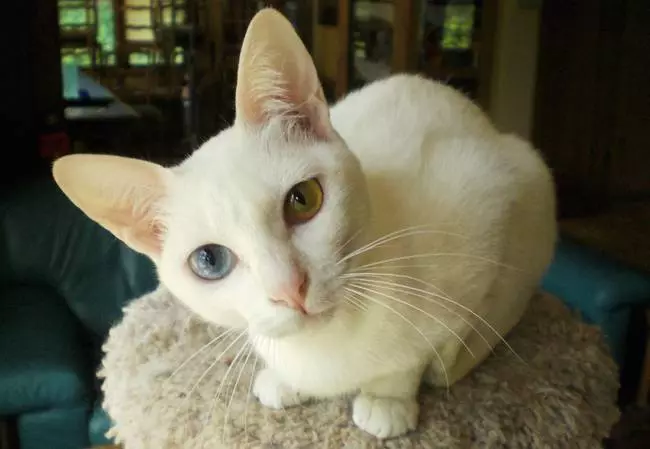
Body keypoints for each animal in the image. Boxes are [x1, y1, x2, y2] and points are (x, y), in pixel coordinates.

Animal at [53, 8, 556, 440]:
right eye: (209, 260)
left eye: (303, 200)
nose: (289, 288)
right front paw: (284, 380)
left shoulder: (485, 215)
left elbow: (425, 351)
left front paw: (389, 395)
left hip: (529, 174)